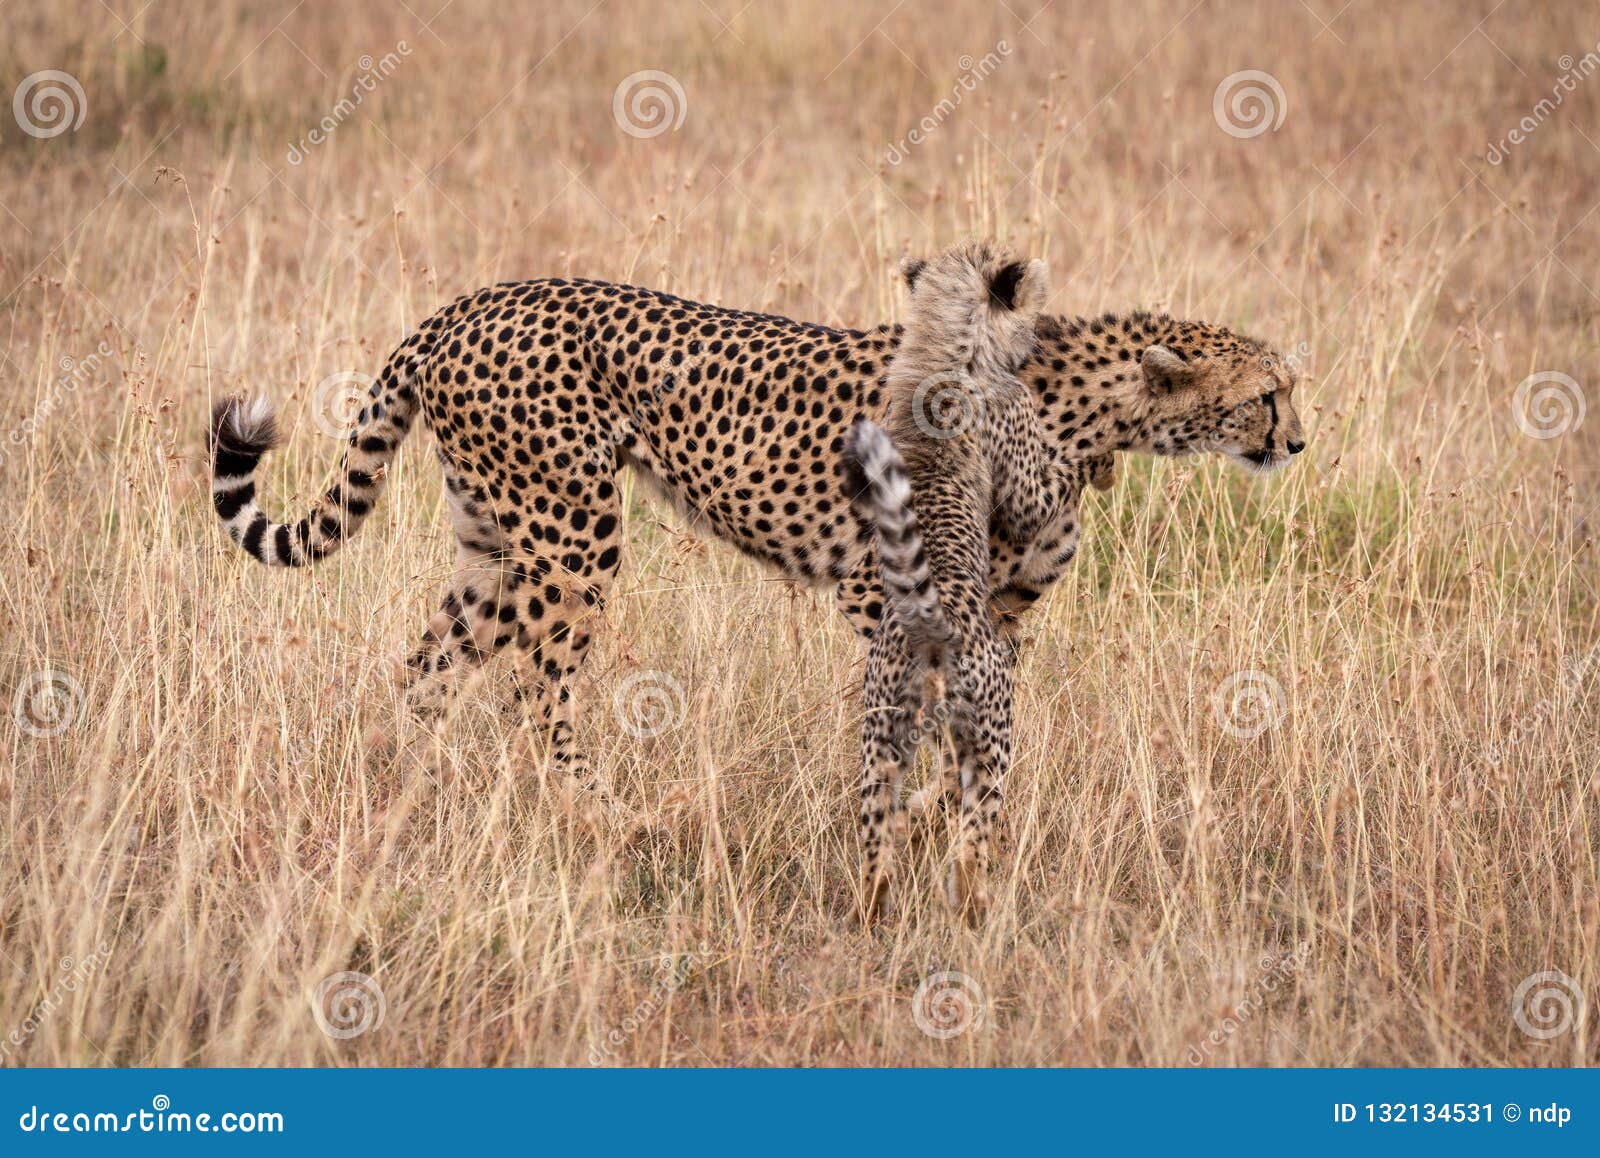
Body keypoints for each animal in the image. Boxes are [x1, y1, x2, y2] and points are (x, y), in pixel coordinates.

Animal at [209, 247, 1306, 918]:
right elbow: (926, 731)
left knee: (428, 670)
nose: (1298, 440)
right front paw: (916, 838)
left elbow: (972, 738)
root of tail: (468, 306)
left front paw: (945, 838)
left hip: (494, 541)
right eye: (1269, 393)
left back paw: (408, 793)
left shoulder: (995, 614)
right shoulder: (890, 592)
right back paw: (603, 821)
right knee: (535, 689)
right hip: (572, 536)